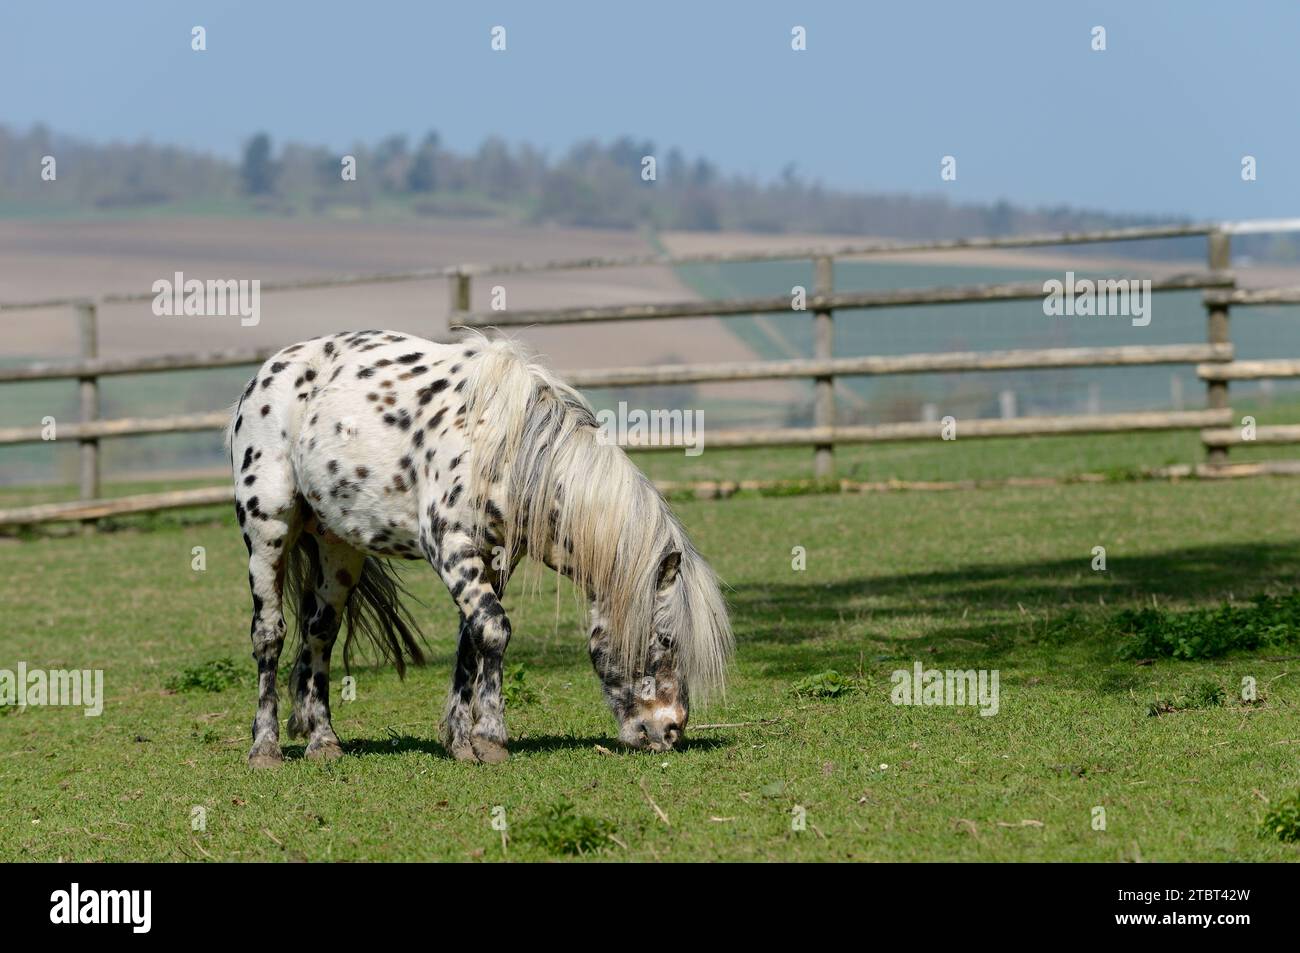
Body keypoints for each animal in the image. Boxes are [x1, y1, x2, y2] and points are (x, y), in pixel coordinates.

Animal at [226, 329, 733, 766]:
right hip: (268, 532)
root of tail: (266, 375)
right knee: (269, 634)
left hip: (338, 550)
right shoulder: (449, 546)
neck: (508, 447)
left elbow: (471, 640)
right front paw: (490, 738)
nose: (671, 730)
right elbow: (493, 631)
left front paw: (460, 742)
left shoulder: (495, 559)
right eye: (665, 639)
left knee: (319, 634)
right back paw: (264, 748)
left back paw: (323, 741)